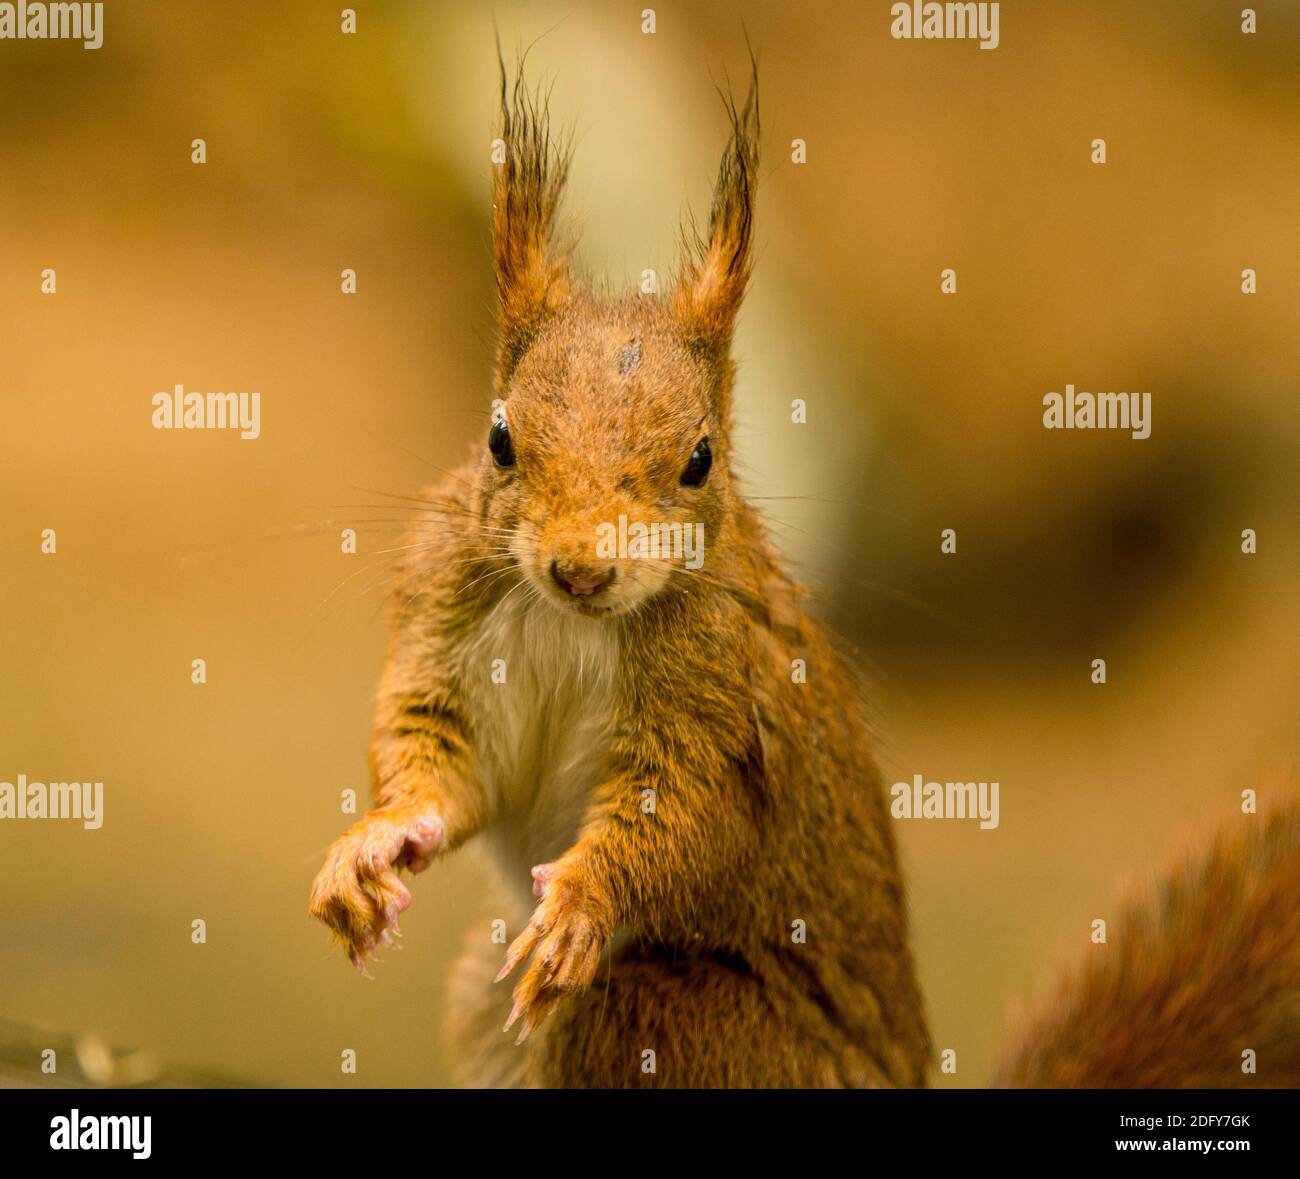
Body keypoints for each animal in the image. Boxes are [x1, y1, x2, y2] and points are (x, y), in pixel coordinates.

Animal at [308, 59, 1299, 1089]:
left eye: (700, 459)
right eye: (500, 438)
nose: (580, 569)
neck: (570, 623)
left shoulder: (718, 697)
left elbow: (684, 821)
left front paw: (583, 902)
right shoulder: (449, 614)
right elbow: (439, 755)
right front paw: (372, 844)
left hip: (677, 1027)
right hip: (486, 993)